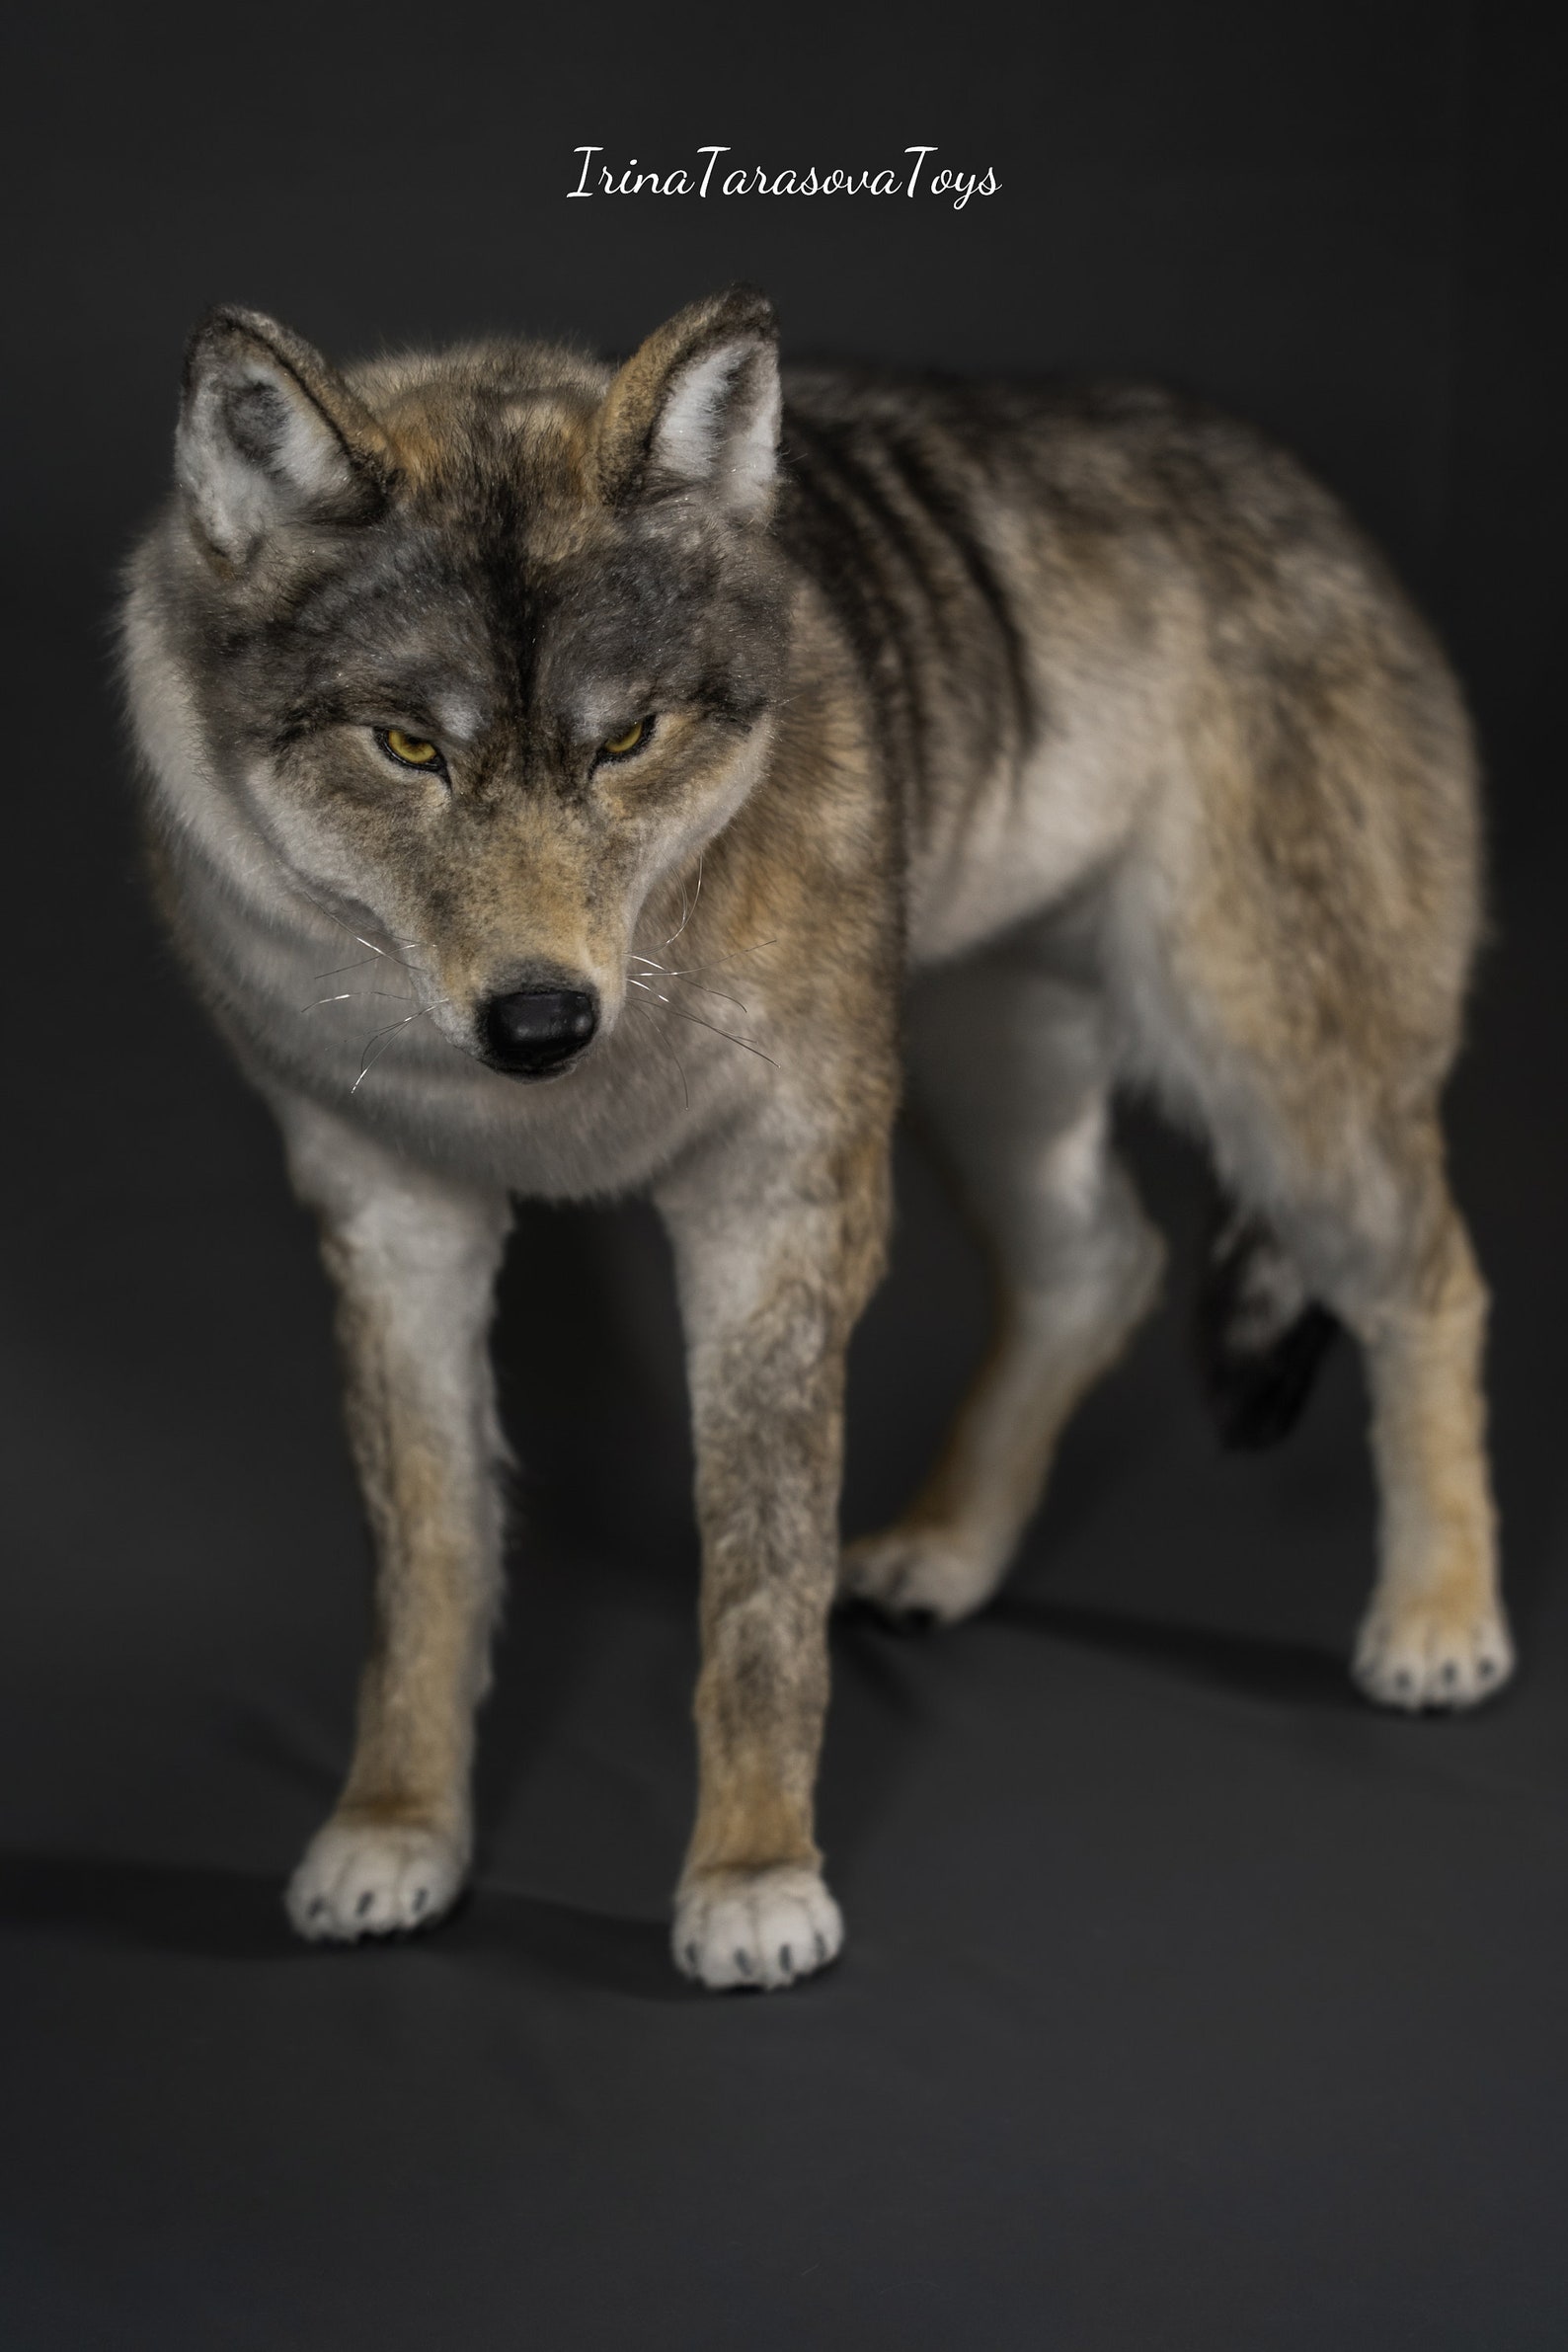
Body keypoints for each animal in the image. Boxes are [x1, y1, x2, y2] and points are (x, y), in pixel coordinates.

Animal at [122, 287, 1511, 1990]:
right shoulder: (395, 1215)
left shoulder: (773, 1211)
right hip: (992, 1071)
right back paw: (945, 1554)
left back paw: (1440, 1623)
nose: (541, 1023)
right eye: (408, 751)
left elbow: (760, 1591)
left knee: (1430, 1283)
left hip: (1271, 1084)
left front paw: (752, 1875)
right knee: (1102, 1263)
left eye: (627, 741)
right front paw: (391, 1832)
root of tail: (1307, 495)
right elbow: (432, 1567)